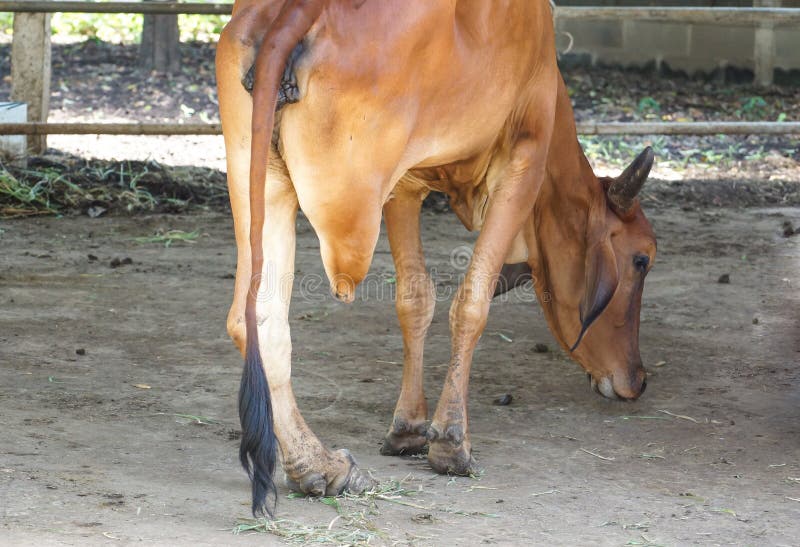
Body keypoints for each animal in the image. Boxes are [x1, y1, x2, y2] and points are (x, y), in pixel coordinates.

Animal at [216, 0, 657, 516]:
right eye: (642, 259)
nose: (638, 379)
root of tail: (292, 12)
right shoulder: (524, 160)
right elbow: (470, 305)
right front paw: (450, 441)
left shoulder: (406, 185)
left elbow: (414, 300)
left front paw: (408, 426)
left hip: (263, 180)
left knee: (258, 322)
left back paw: (317, 466)